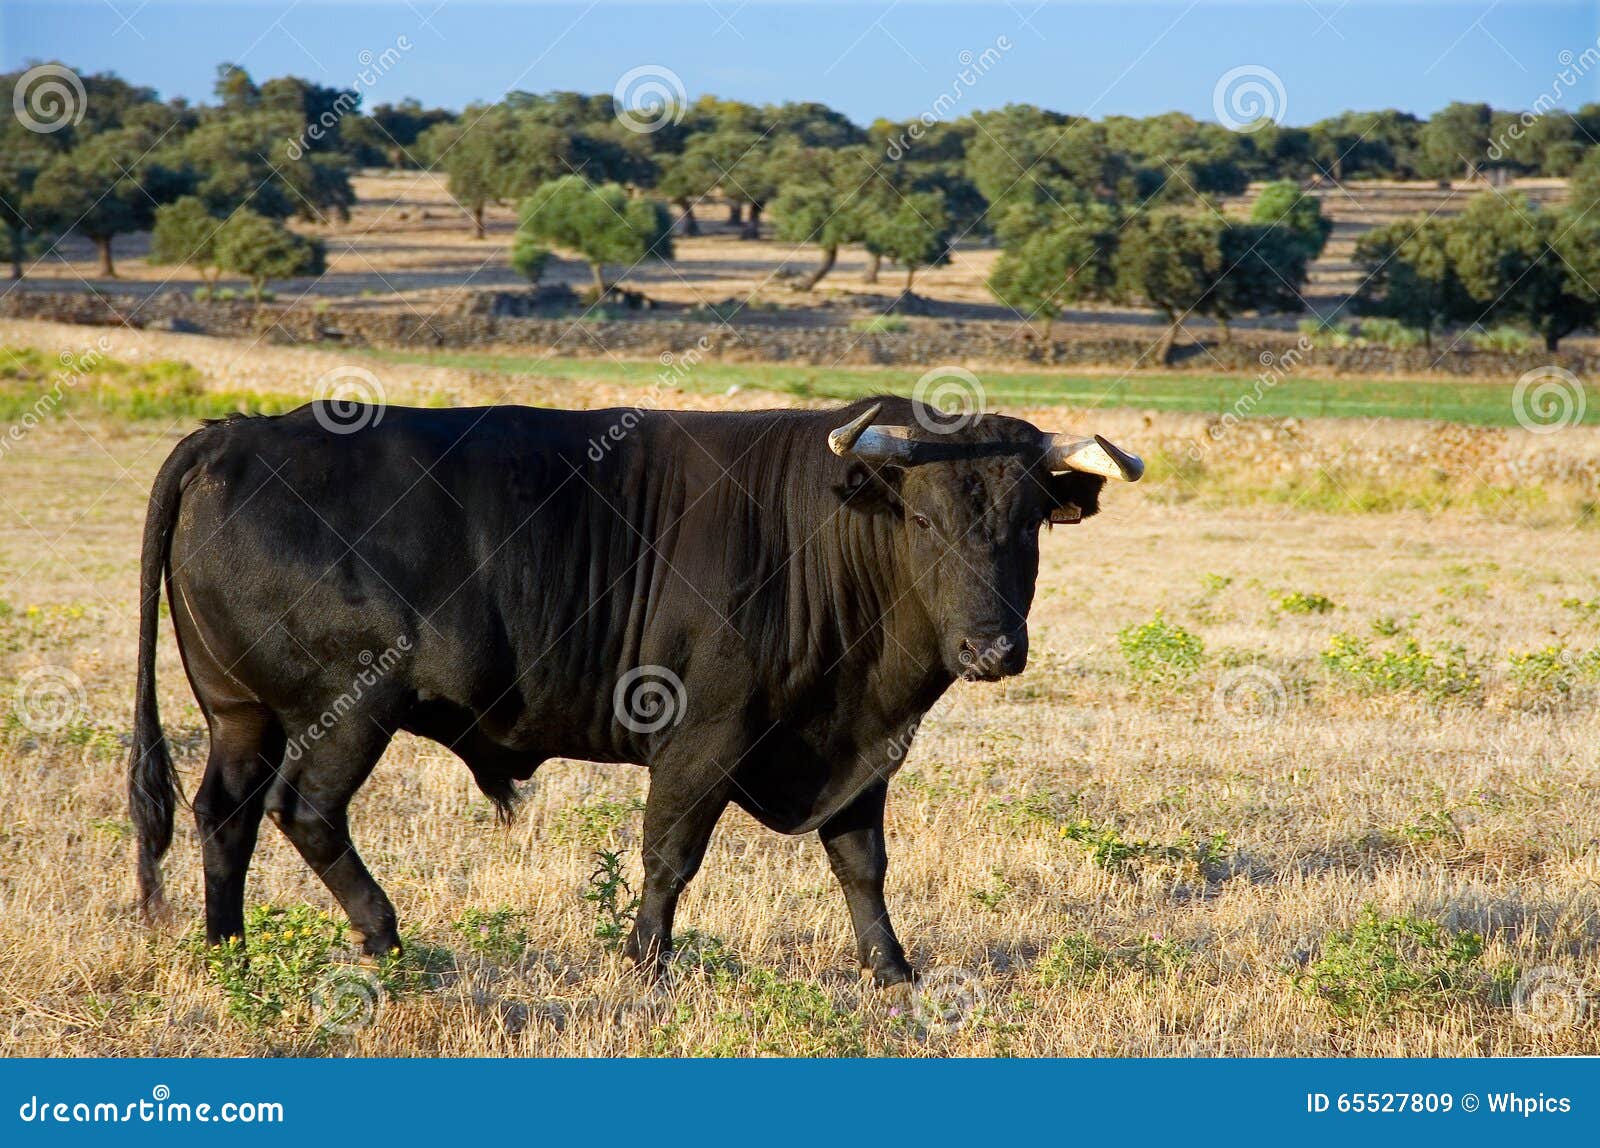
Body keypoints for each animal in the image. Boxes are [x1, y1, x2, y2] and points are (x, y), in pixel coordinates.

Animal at [128, 395, 1140, 986]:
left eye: (1028, 522)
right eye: (925, 519)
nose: (991, 647)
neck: (823, 525)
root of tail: (232, 435)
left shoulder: (859, 747)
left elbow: (861, 861)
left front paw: (890, 970)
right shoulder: (705, 738)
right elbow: (670, 855)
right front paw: (646, 963)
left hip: (240, 714)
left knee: (225, 814)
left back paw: (228, 949)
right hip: (348, 712)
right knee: (306, 813)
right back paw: (387, 940)